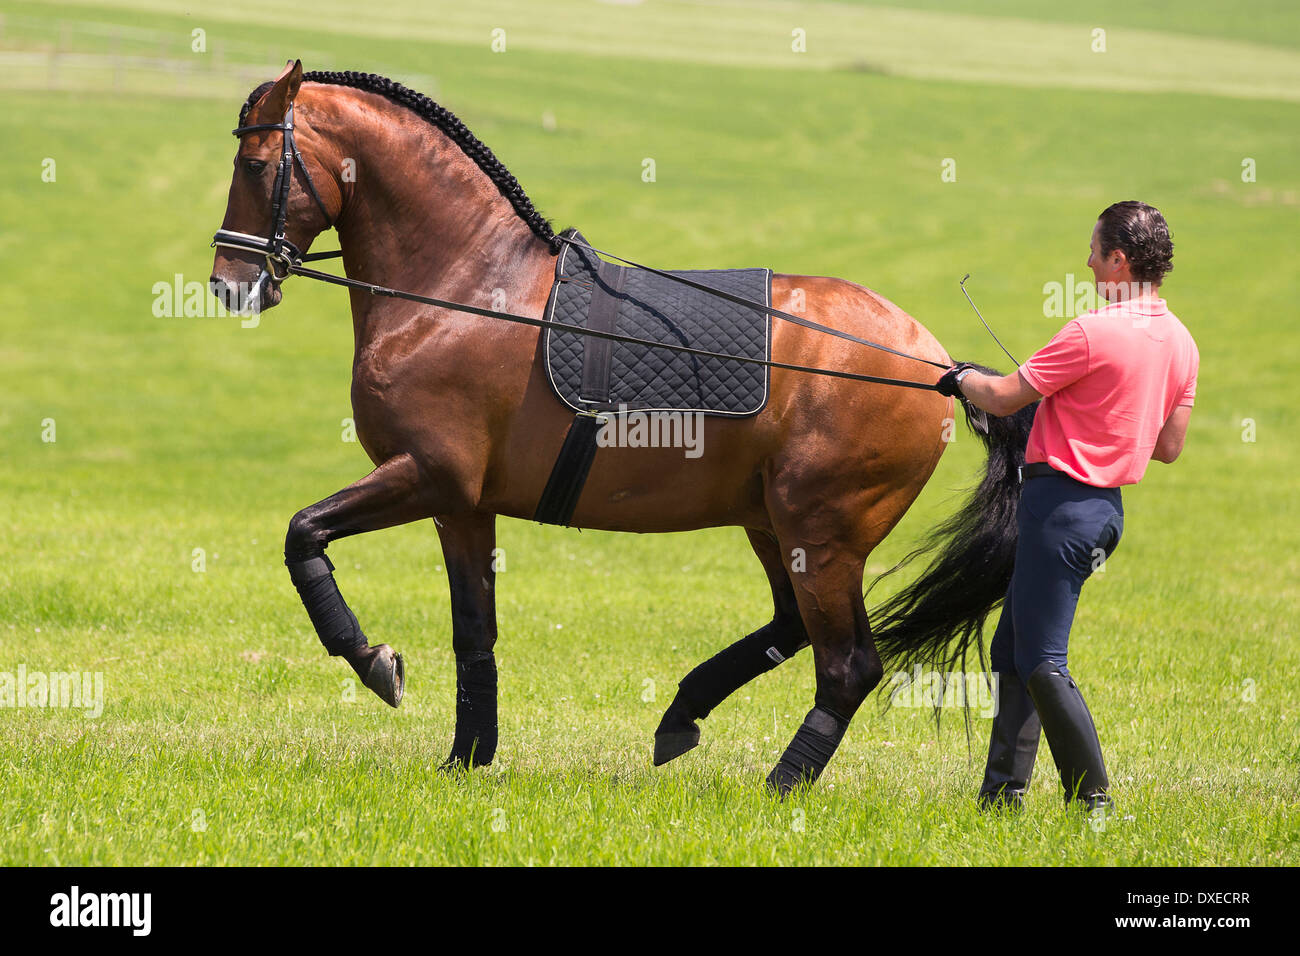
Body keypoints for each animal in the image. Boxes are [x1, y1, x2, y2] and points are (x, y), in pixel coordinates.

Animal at [210, 61, 1034, 795]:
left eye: (254, 164)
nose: (228, 285)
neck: (465, 290)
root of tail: (938, 365)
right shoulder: (462, 506)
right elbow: (474, 631)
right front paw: (466, 759)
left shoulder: (426, 476)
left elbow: (303, 534)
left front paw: (372, 661)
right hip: (775, 524)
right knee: (791, 628)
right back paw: (683, 714)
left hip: (820, 534)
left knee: (847, 664)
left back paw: (781, 784)